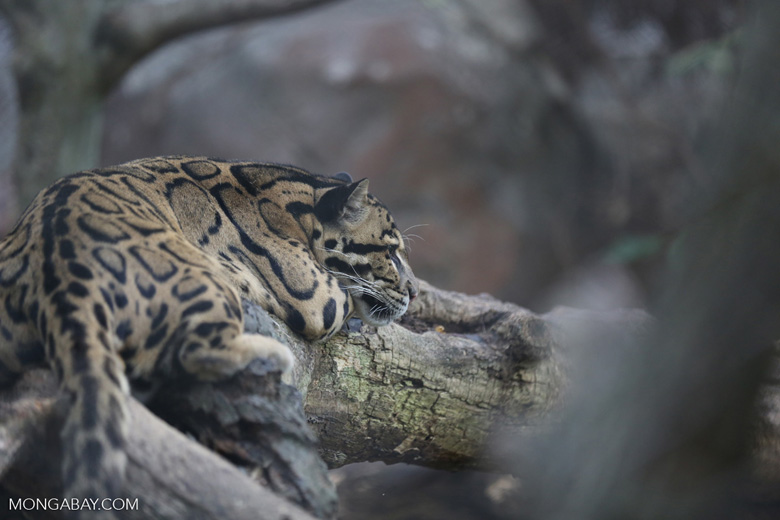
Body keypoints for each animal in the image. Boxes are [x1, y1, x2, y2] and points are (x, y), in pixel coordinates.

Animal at [0, 156, 418, 505]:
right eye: (391, 251)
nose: (415, 291)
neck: (300, 195)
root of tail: (63, 274)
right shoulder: (315, 293)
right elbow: (344, 299)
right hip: (205, 280)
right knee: (195, 353)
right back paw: (270, 353)